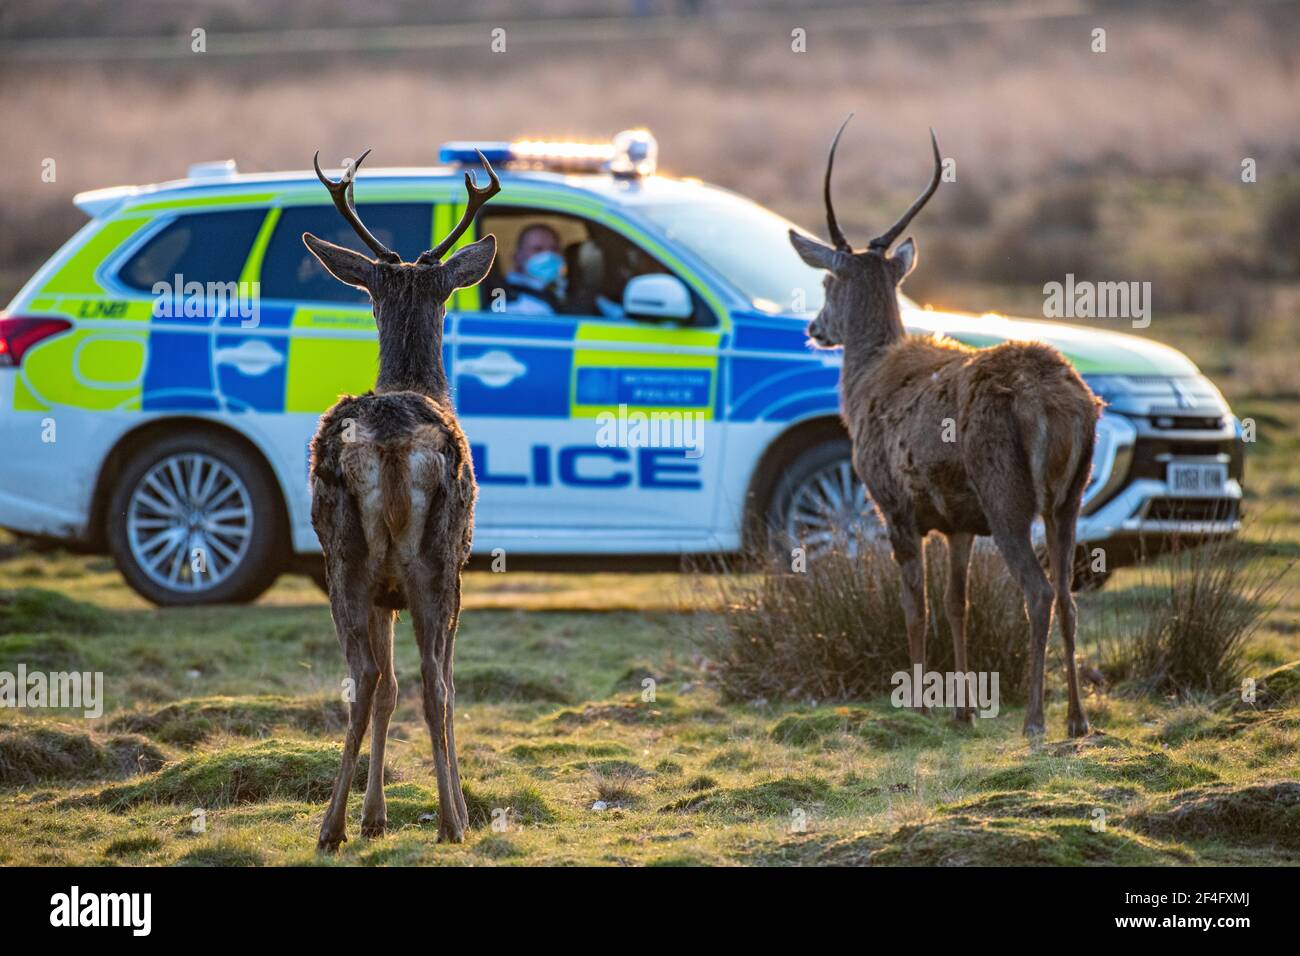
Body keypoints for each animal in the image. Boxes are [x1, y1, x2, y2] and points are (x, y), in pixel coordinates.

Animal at [304, 147, 500, 848]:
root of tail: (388, 445)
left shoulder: (385, 595)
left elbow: (388, 691)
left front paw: (375, 816)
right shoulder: (452, 573)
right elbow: (436, 686)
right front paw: (445, 810)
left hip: (350, 560)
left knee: (367, 679)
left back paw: (334, 826)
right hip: (433, 561)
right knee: (433, 683)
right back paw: (449, 822)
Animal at [788, 117, 1102, 738]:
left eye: (827, 284)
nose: (813, 328)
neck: (863, 385)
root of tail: (1061, 405)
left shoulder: (894, 504)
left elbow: (916, 605)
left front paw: (917, 701)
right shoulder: (958, 522)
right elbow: (959, 605)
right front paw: (962, 708)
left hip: (1006, 492)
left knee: (1038, 591)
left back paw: (1035, 720)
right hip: (1070, 496)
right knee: (1070, 595)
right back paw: (1078, 721)